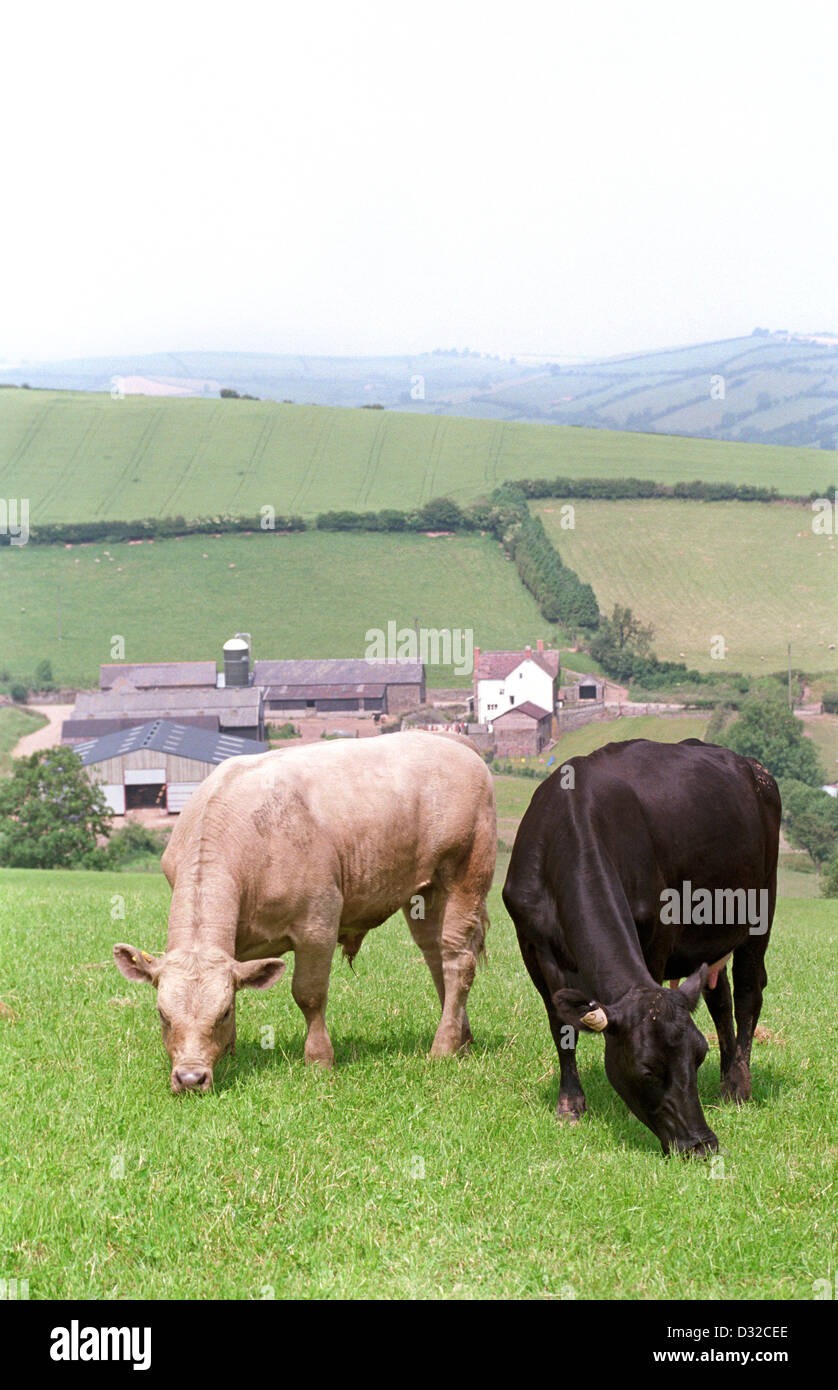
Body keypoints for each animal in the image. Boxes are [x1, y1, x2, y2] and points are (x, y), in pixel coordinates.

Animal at [113, 730, 495, 1092]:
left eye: (222, 1013)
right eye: (163, 1015)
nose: (191, 1078)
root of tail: (449, 739)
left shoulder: (318, 924)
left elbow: (309, 995)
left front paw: (319, 1059)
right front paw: (231, 1051)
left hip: (466, 876)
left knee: (457, 961)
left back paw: (444, 1047)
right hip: (424, 894)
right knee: (436, 958)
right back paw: (462, 1037)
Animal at [502, 739, 780, 1157]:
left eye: (697, 1056)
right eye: (648, 1070)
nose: (701, 1144)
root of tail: (753, 767)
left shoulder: (658, 935)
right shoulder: (532, 945)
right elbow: (560, 1023)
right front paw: (571, 1104)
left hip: (761, 910)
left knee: (749, 992)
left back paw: (737, 1086)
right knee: (721, 999)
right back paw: (727, 1073)